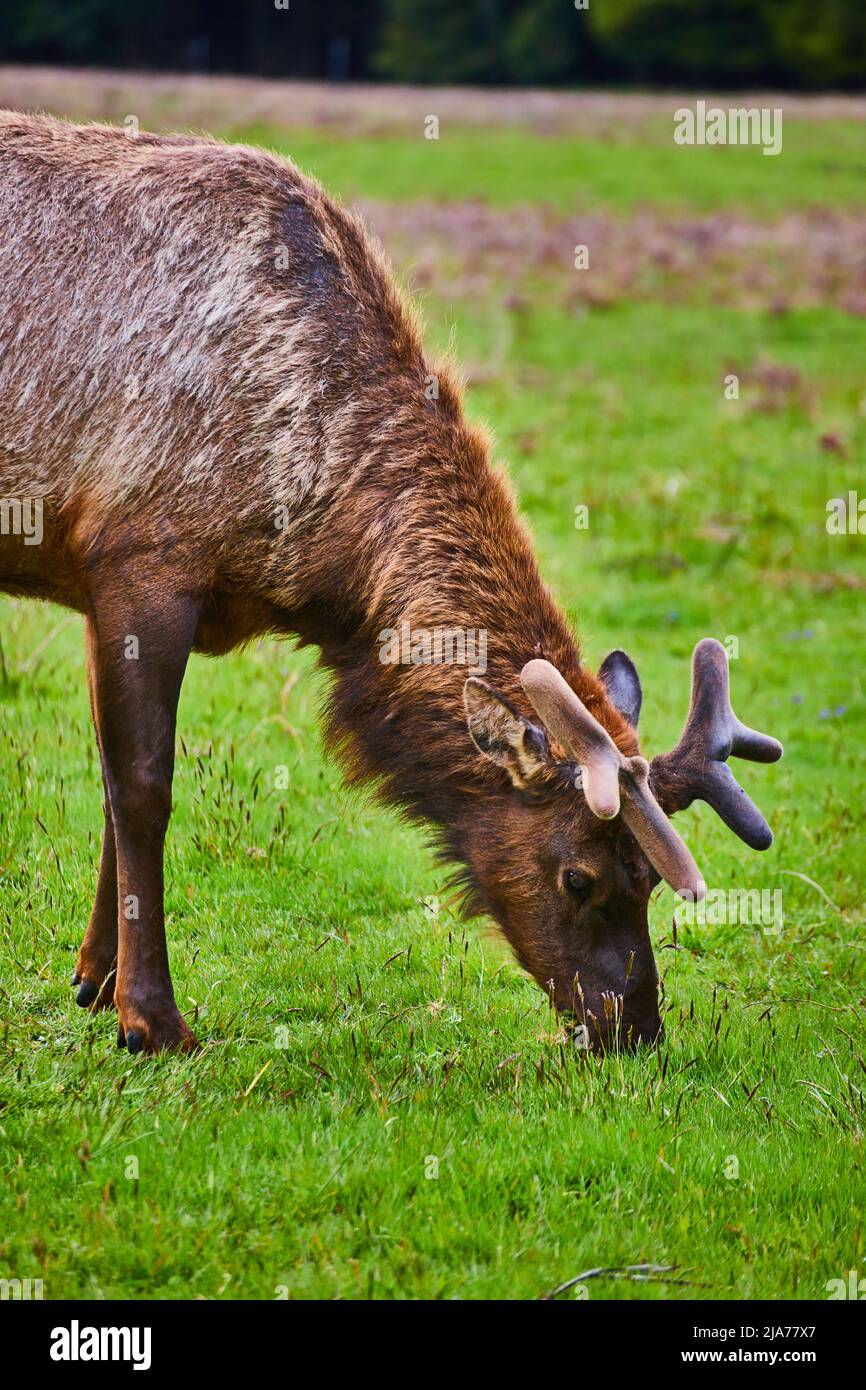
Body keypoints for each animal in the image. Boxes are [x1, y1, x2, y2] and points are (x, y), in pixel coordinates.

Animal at [0, 112, 783, 1055]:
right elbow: (143, 789)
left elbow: (116, 793)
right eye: (579, 877)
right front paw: (151, 1020)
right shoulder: (141, 556)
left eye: (653, 880)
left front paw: (93, 977)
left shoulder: (108, 585)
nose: (632, 1026)